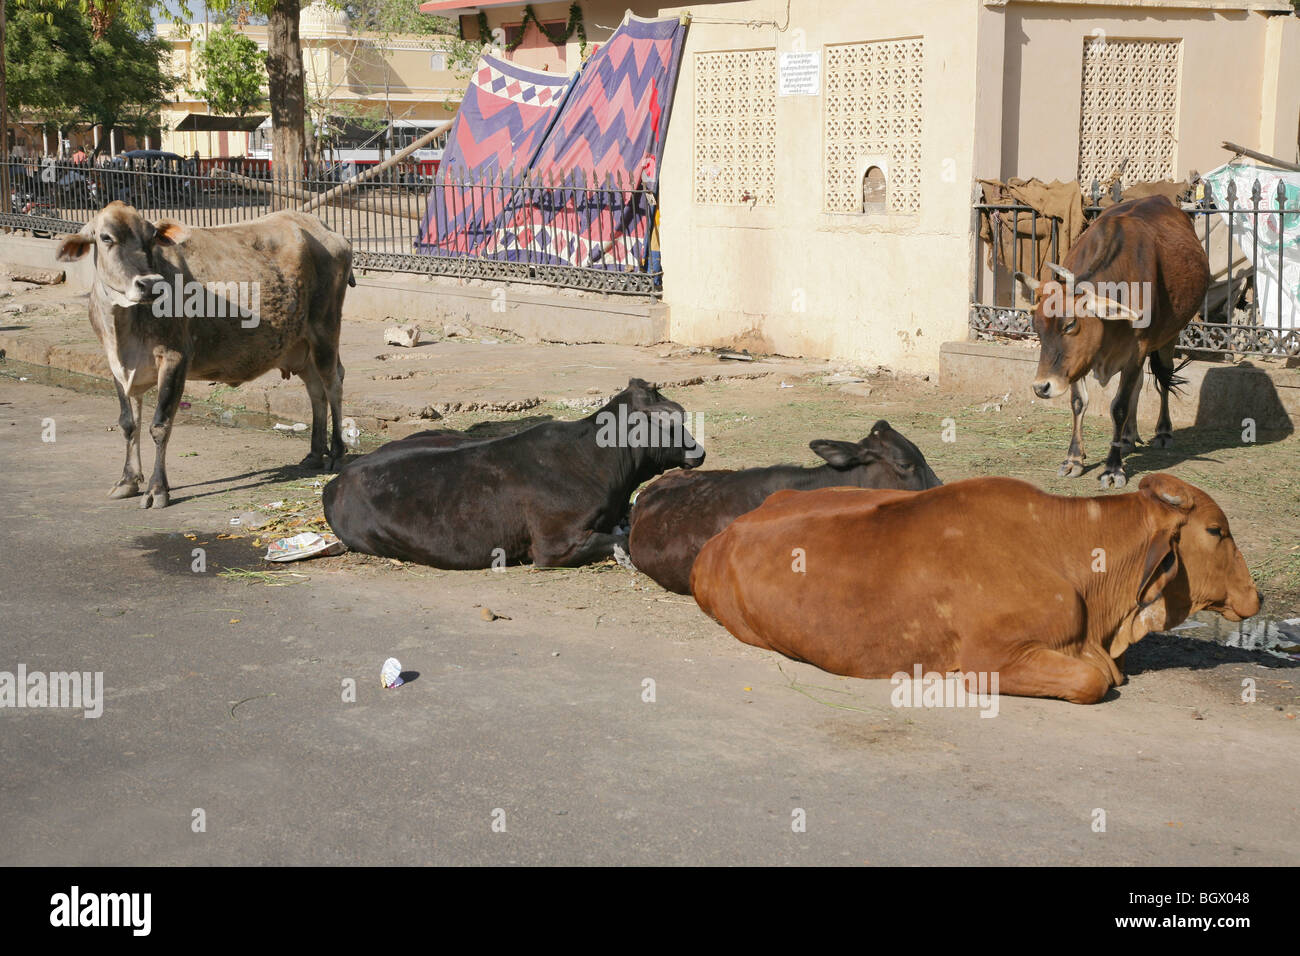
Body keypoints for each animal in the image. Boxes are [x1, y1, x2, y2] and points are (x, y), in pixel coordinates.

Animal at [56, 201, 352, 508]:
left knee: (333, 384)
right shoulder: (118, 365)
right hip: (300, 345)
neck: (122, 329)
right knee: (315, 389)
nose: (149, 284)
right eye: (106, 238)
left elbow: (160, 425)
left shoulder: (175, 358)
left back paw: (336, 452)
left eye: (151, 236)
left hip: (325, 331)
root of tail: (318, 225)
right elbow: (129, 423)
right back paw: (315, 454)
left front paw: (157, 489)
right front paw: (127, 480)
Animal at [1019, 195, 1210, 488]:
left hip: (1169, 336)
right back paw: (1128, 437)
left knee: (1163, 379)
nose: (1042, 387)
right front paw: (1074, 459)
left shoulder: (1138, 349)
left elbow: (1118, 406)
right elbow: (1079, 402)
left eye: (1070, 324)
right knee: (1139, 386)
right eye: (1036, 327)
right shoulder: (1080, 361)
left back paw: (1163, 432)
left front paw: (1113, 468)